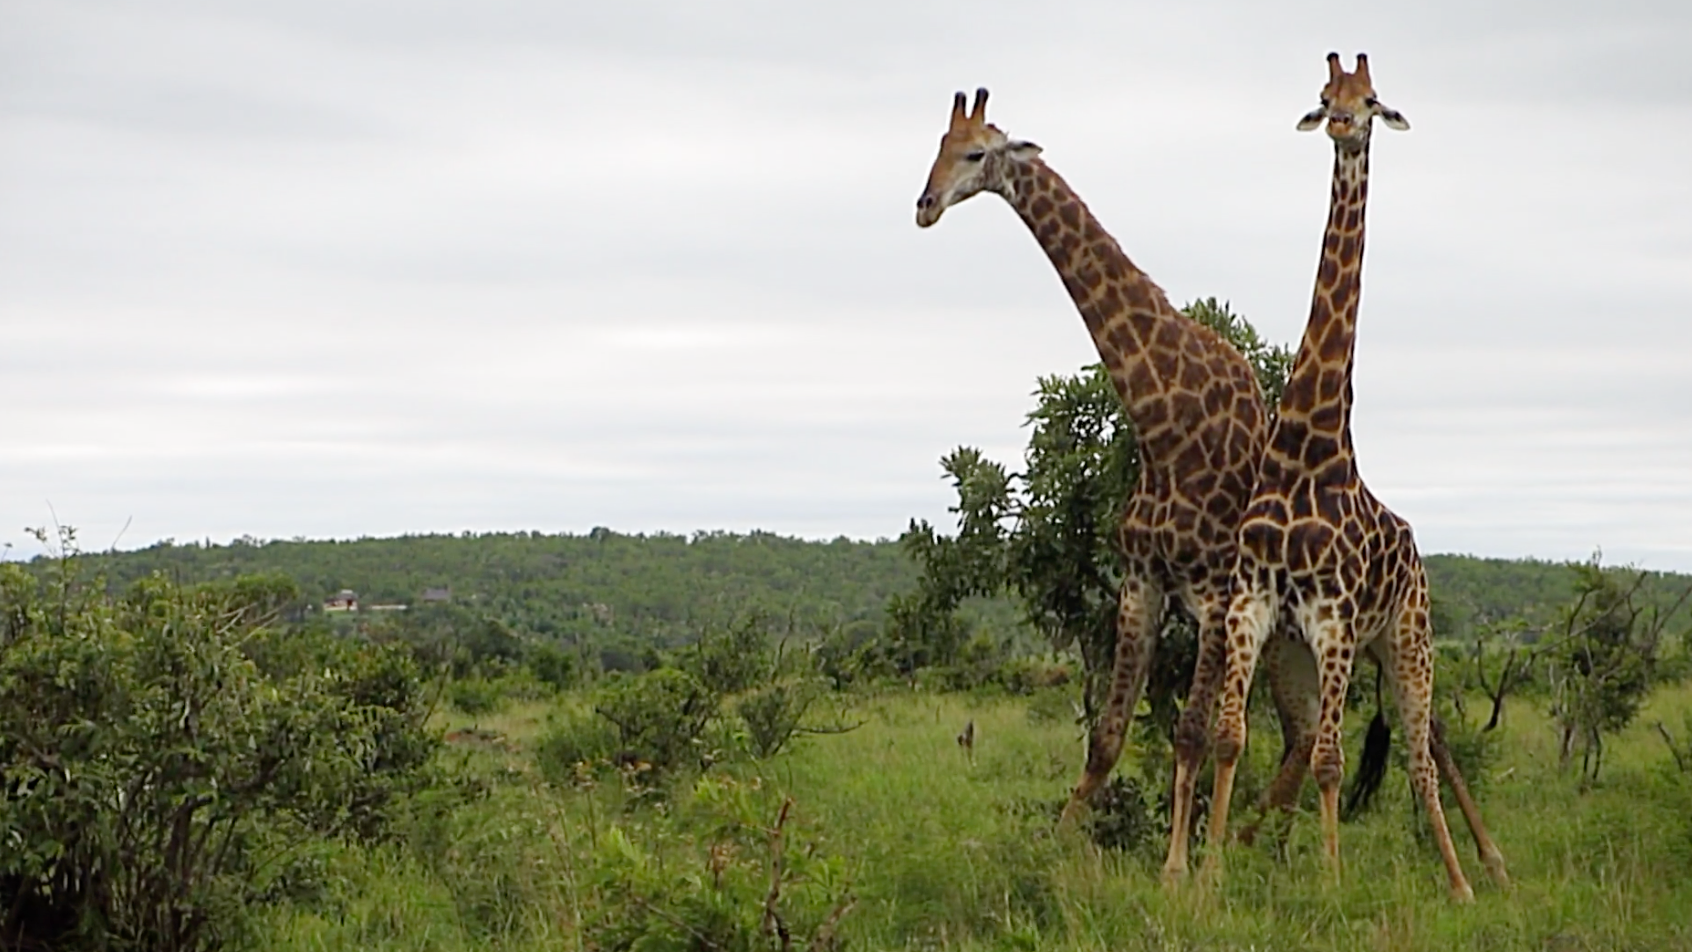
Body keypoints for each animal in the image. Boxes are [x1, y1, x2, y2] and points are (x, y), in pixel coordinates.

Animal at [914, 88, 1272, 875]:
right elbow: (1107, 738)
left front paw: (1180, 871)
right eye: (936, 146)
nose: (924, 205)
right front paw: (1052, 844)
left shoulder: (1212, 597)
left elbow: (1191, 732)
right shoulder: (1141, 582)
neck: (1163, 425)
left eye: (977, 152)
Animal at [1200, 52, 1506, 901]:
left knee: (1419, 754)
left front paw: (1332, 886)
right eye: (1322, 95)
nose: (1341, 125)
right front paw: (1204, 878)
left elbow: (1335, 761)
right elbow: (1231, 737)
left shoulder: (1333, 617)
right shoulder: (1255, 604)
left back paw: (1468, 882)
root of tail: (1418, 553)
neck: (1308, 447)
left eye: (1370, 100)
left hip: (1407, 638)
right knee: (1404, 742)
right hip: (1344, 650)